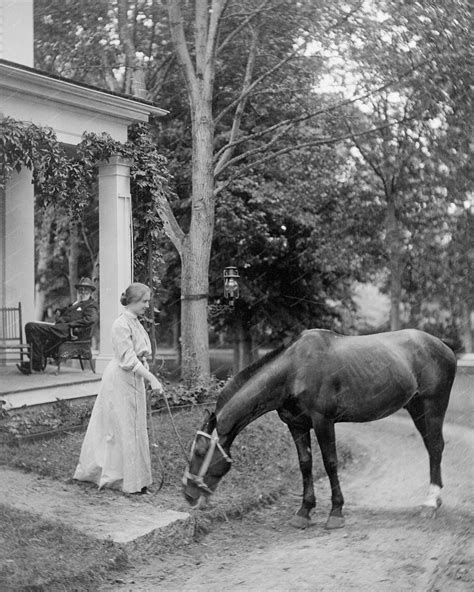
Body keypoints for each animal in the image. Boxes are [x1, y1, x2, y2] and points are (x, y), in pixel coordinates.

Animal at [181, 330, 456, 528]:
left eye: (199, 452)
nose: (188, 494)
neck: (294, 371)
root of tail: (443, 346)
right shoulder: (296, 424)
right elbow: (305, 463)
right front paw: (304, 512)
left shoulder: (323, 421)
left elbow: (330, 462)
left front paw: (336, 512)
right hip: (417, 408)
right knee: (432, 447)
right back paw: (435, 499)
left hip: (432, 407)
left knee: (435, 447)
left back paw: (430, 503)